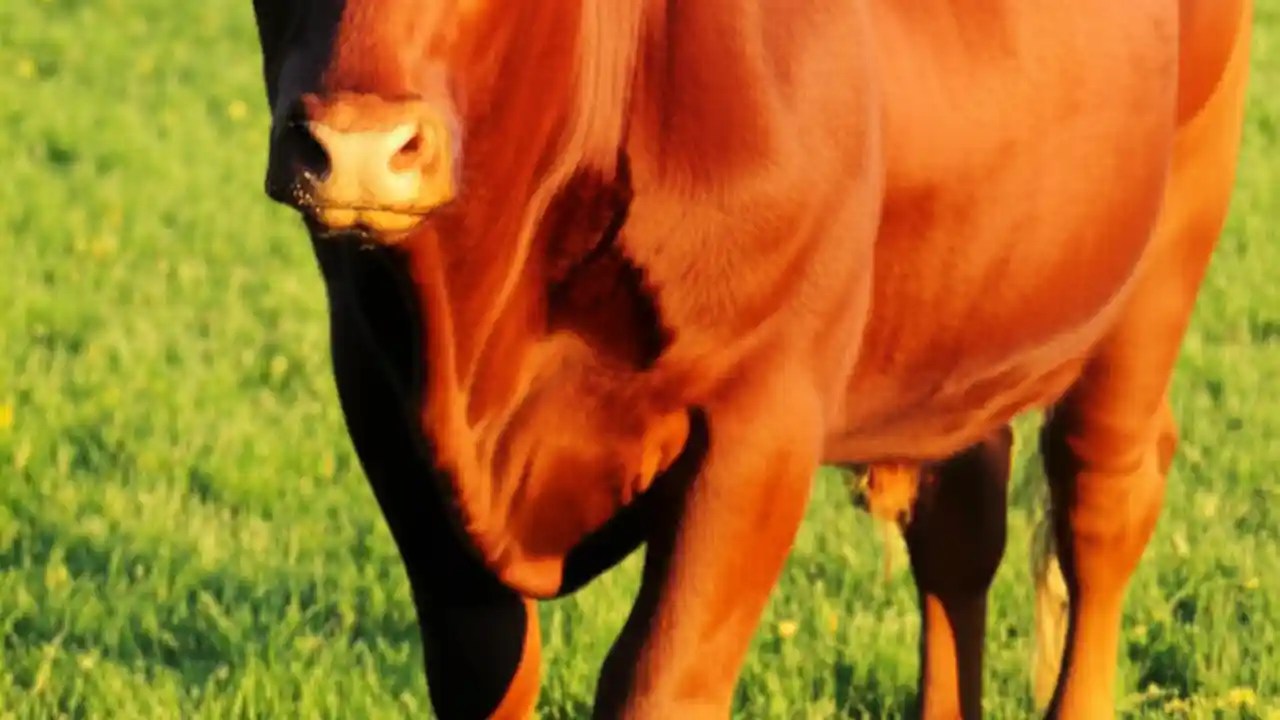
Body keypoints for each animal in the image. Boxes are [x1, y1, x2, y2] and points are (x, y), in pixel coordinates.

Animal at [249, 0, 1253, 717]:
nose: (357, 148)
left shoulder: (758, 423)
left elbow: (657, 681)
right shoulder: (385, 403)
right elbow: (485, 668)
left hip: (1168, 243)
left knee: (1100, 501)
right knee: (960, 527)